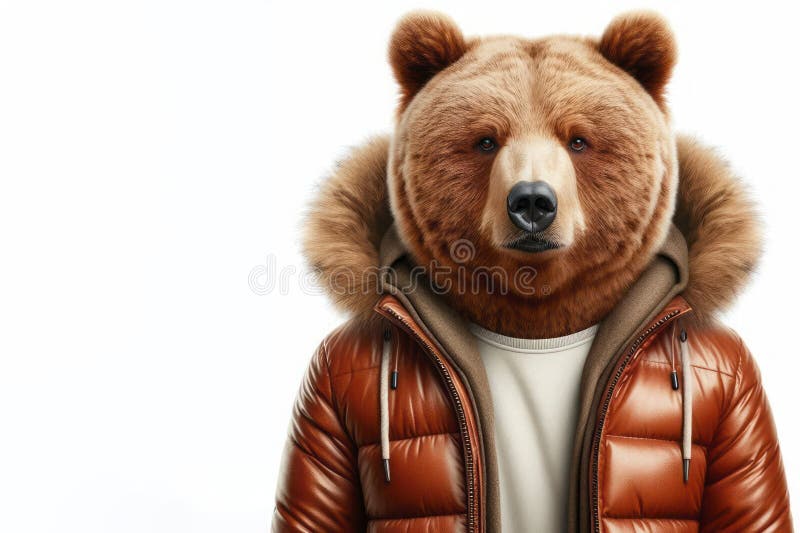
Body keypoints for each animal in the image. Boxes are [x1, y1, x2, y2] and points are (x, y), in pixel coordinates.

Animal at [272, 11, 791, 533]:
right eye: (485, 140)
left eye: (578, 139)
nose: (533, 202)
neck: (537, 320)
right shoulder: (327, 373)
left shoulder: (736, 378)